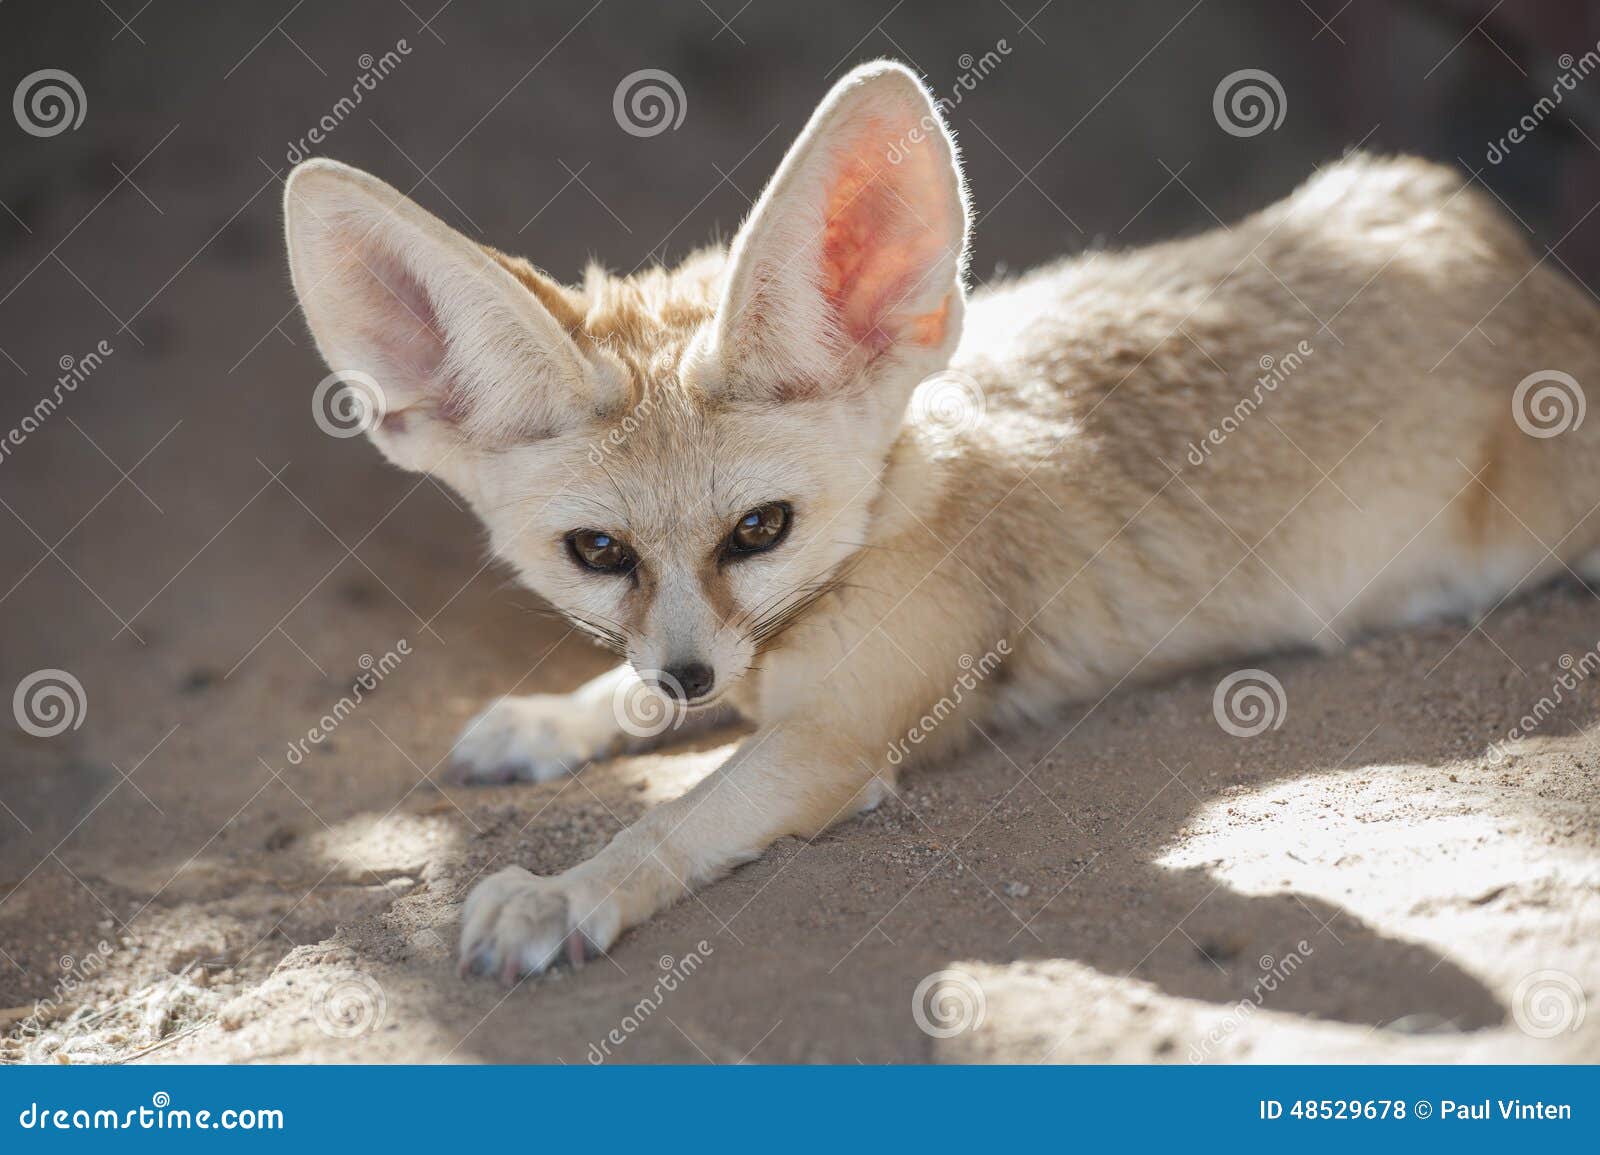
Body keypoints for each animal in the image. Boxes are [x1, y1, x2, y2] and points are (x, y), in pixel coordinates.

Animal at [283, 61, 1600, 983]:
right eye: (597, 553)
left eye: (760, 530)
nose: (695, 677)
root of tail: (1522, 265)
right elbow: (631, 693)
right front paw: (557, 718)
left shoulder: (835, 743)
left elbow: (674, 818)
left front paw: (565, 889)